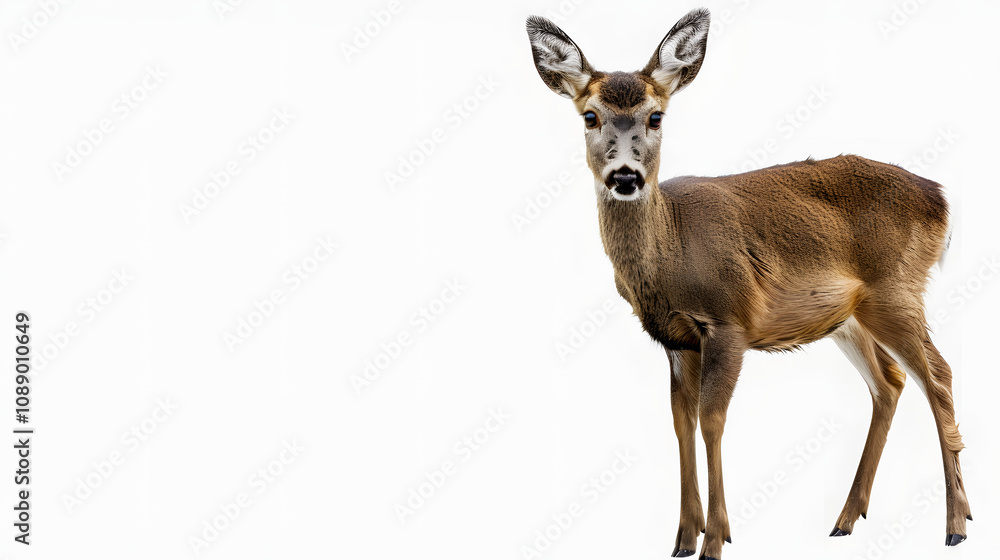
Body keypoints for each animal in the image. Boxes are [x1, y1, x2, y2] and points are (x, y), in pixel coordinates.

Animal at [526, 8, 970, 559]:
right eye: (590, 116)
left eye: (656, 116)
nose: (625, 177)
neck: (671, 253)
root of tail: (942, 199)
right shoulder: (677, 340)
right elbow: (681, 422)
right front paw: (682, 538)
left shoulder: (728, 319)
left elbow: (712, 420)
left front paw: (716, 538)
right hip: (850, 317)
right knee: (890, 382)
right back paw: (846, 519)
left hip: (898, 289)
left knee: (940, 376)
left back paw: (955, 524)